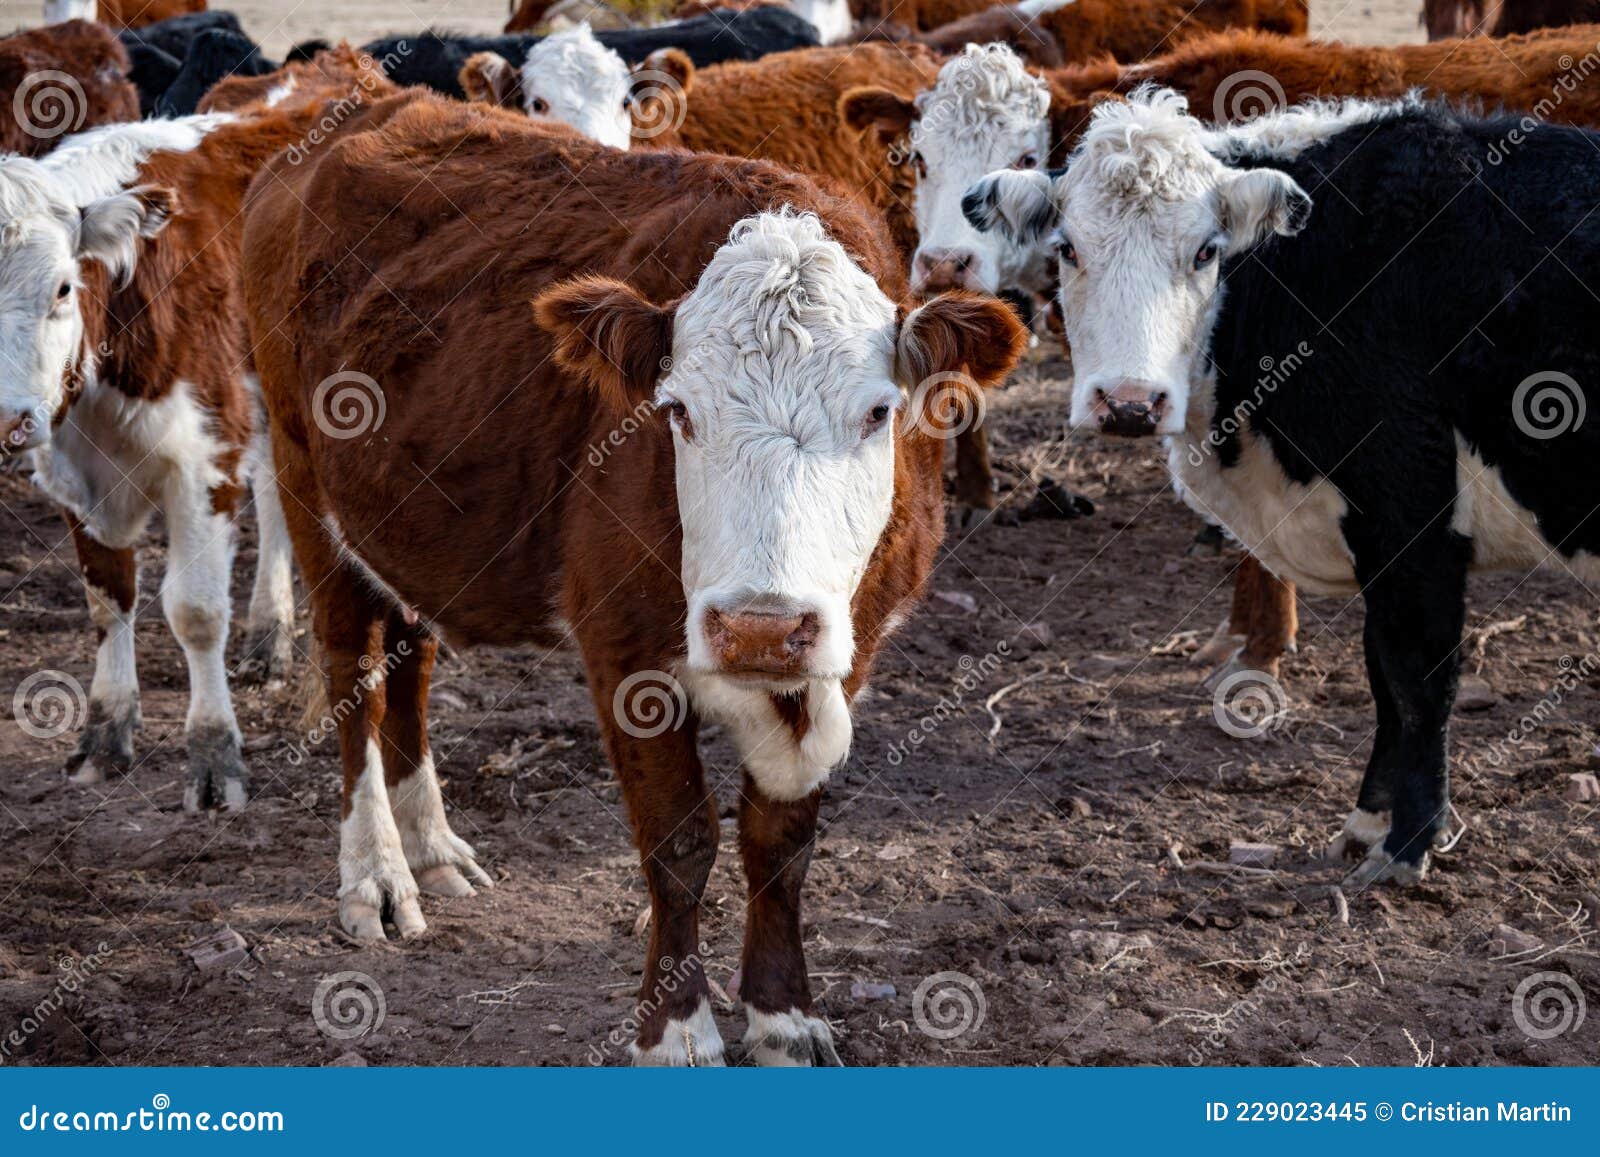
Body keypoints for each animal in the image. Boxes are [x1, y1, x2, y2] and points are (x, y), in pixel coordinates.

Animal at [0, 47, 392, 812]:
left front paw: (215, 756)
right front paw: (105, 733)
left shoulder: (203, 453)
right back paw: (269, 635)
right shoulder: (70, 472)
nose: (7, 419)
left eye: (61, 286)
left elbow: (195, 610)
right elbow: (107, 598)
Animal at [241, 87, 1026, 1063]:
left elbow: (781, 840)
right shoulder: (621, 649)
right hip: (307, 489)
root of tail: (343, 110)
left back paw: (435, 846)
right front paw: (677, 1027)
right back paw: (379, 874)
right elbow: (678, 840)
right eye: (677, 410)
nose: (761, 626)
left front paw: (783, 1015)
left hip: (408, 528)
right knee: (355, 678)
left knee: (410, 665)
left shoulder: (851, 647)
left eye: (879, 411)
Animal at [964, 88, 1600, 890]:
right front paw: (1367, 823)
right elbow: (1381, 675)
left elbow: (1418, 679)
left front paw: (1407, 844)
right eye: (1069, 248)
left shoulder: (1410, 518)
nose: (1131, 403)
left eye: (1207, 251)